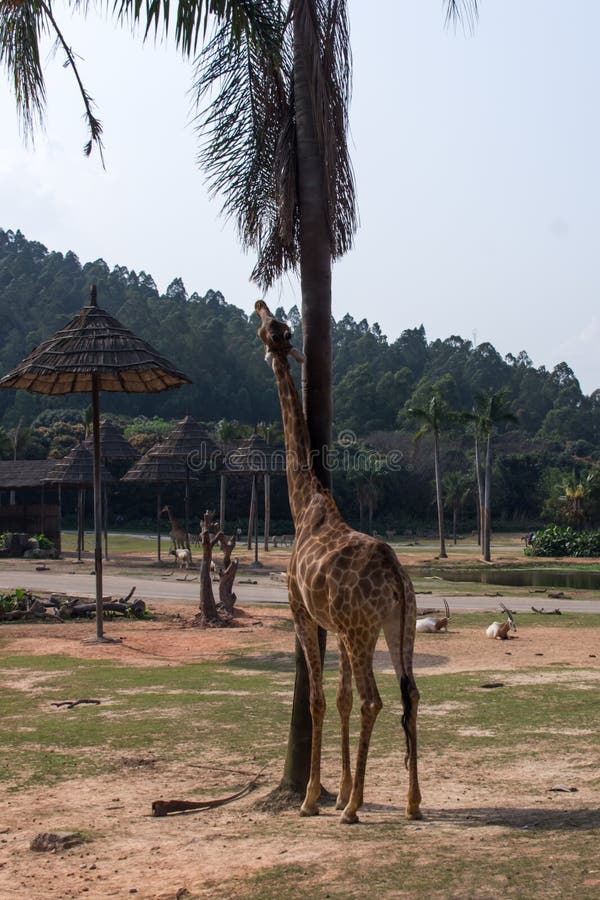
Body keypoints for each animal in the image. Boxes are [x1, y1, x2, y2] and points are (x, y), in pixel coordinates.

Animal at [255, 301, 422, 825]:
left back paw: (352, 809)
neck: (302, 502)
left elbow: (319, 699)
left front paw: (313, 797)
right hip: (398, 624)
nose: (259, 304)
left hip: (364, 628)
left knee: (375, 699)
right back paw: (412, 802)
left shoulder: (302, 612)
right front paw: (341, 786)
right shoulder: (338, 625)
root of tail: (396, 578)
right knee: (410, 693)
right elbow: (342, 699)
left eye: (271, 329)